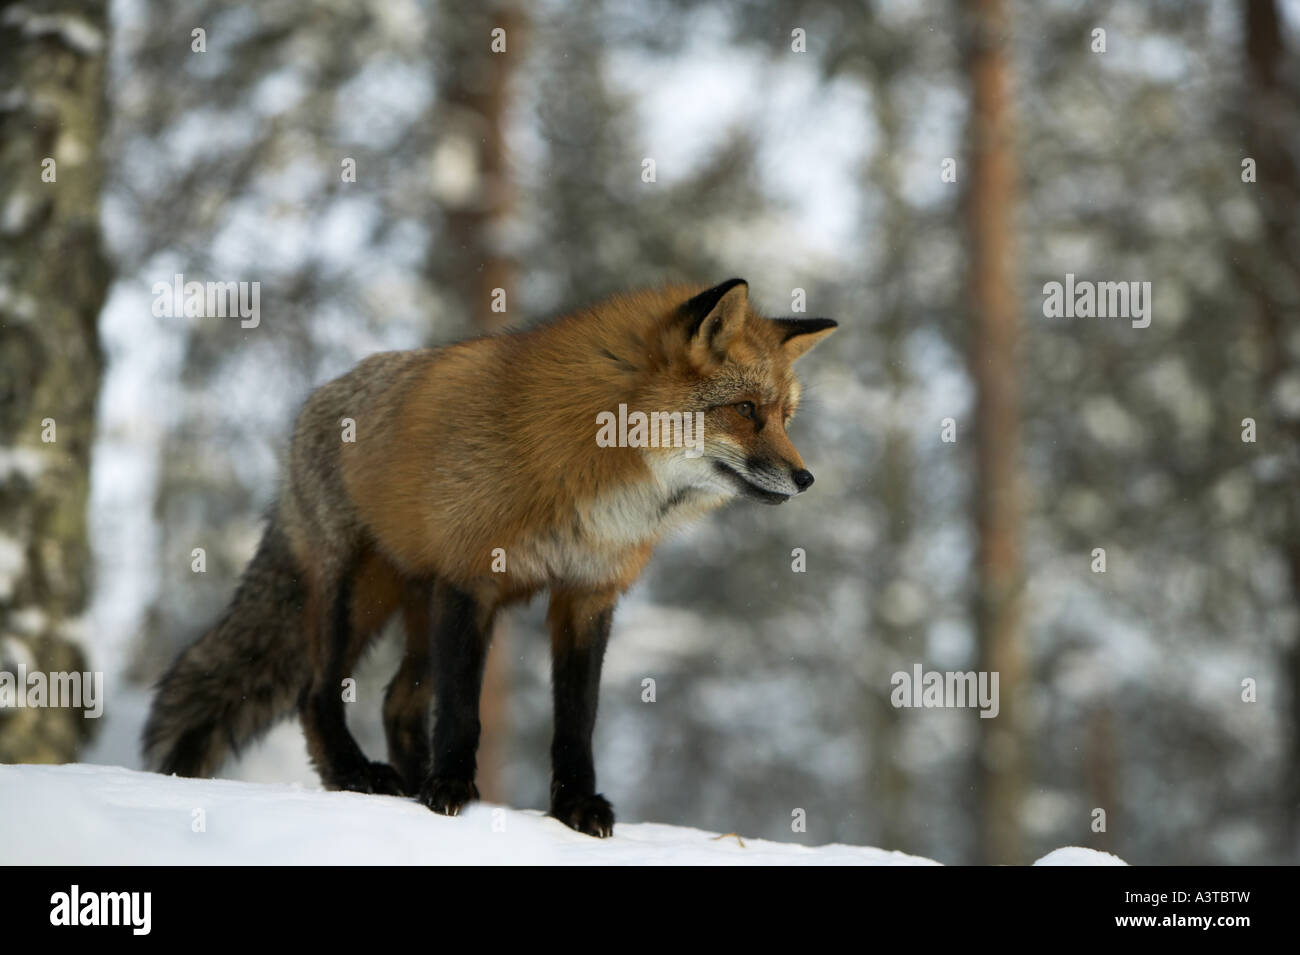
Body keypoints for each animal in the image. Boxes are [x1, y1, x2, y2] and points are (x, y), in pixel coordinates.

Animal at [142, 278, 837, 837]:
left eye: (785, 416)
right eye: (745, 410)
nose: (806, 479)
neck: (591, 468)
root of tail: (317, 400)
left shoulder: (587, 594)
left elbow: (575, 721)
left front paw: (574, 807)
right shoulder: (471, 577)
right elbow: (462, 710)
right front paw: (449, 788)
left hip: (414, 608)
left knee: (396, 703)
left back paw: (407, 779)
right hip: (352, 593)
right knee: (316, 696)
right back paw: (357, 774)